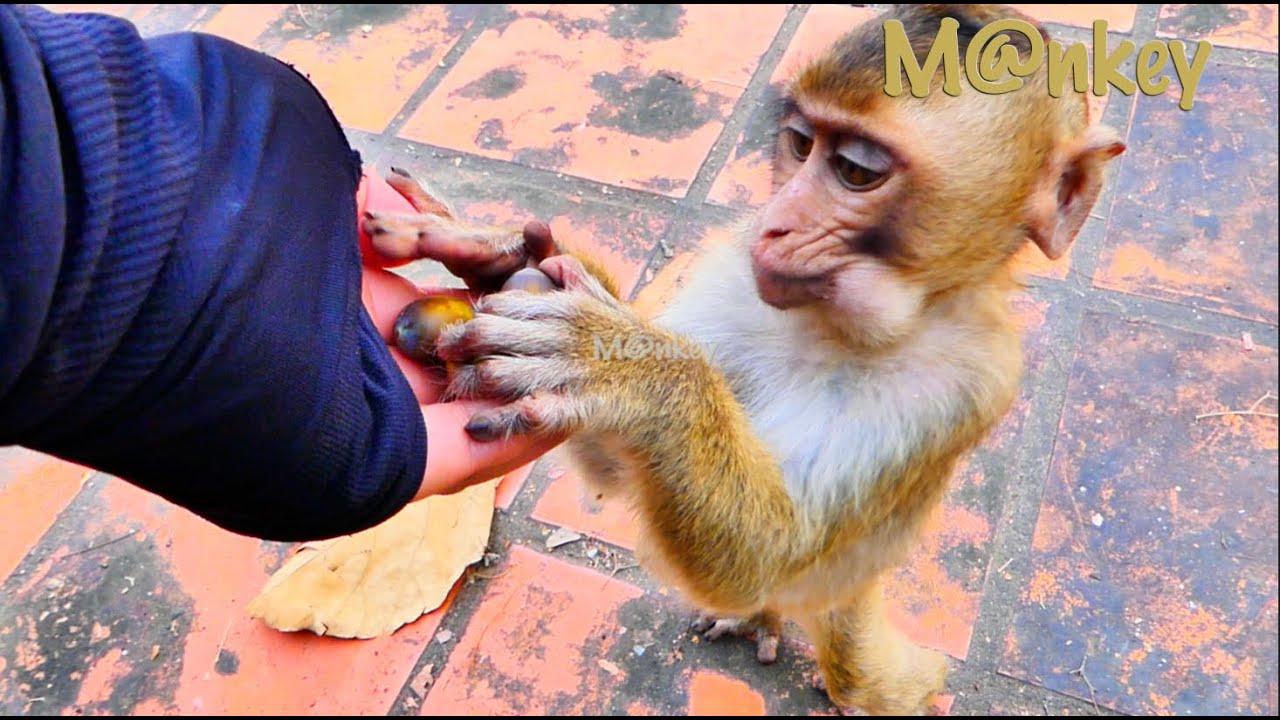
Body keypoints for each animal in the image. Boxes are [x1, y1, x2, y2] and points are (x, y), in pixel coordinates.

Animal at [364, 5, 1126, 714]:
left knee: (843, 646)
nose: (773, 223)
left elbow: (765, 556)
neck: (829, 324)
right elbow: (615, 468)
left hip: (842, 589)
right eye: (800, 144)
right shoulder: (731, 272)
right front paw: (497, 251)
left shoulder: (960, 382)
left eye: (856, 170)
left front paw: (626, 365)